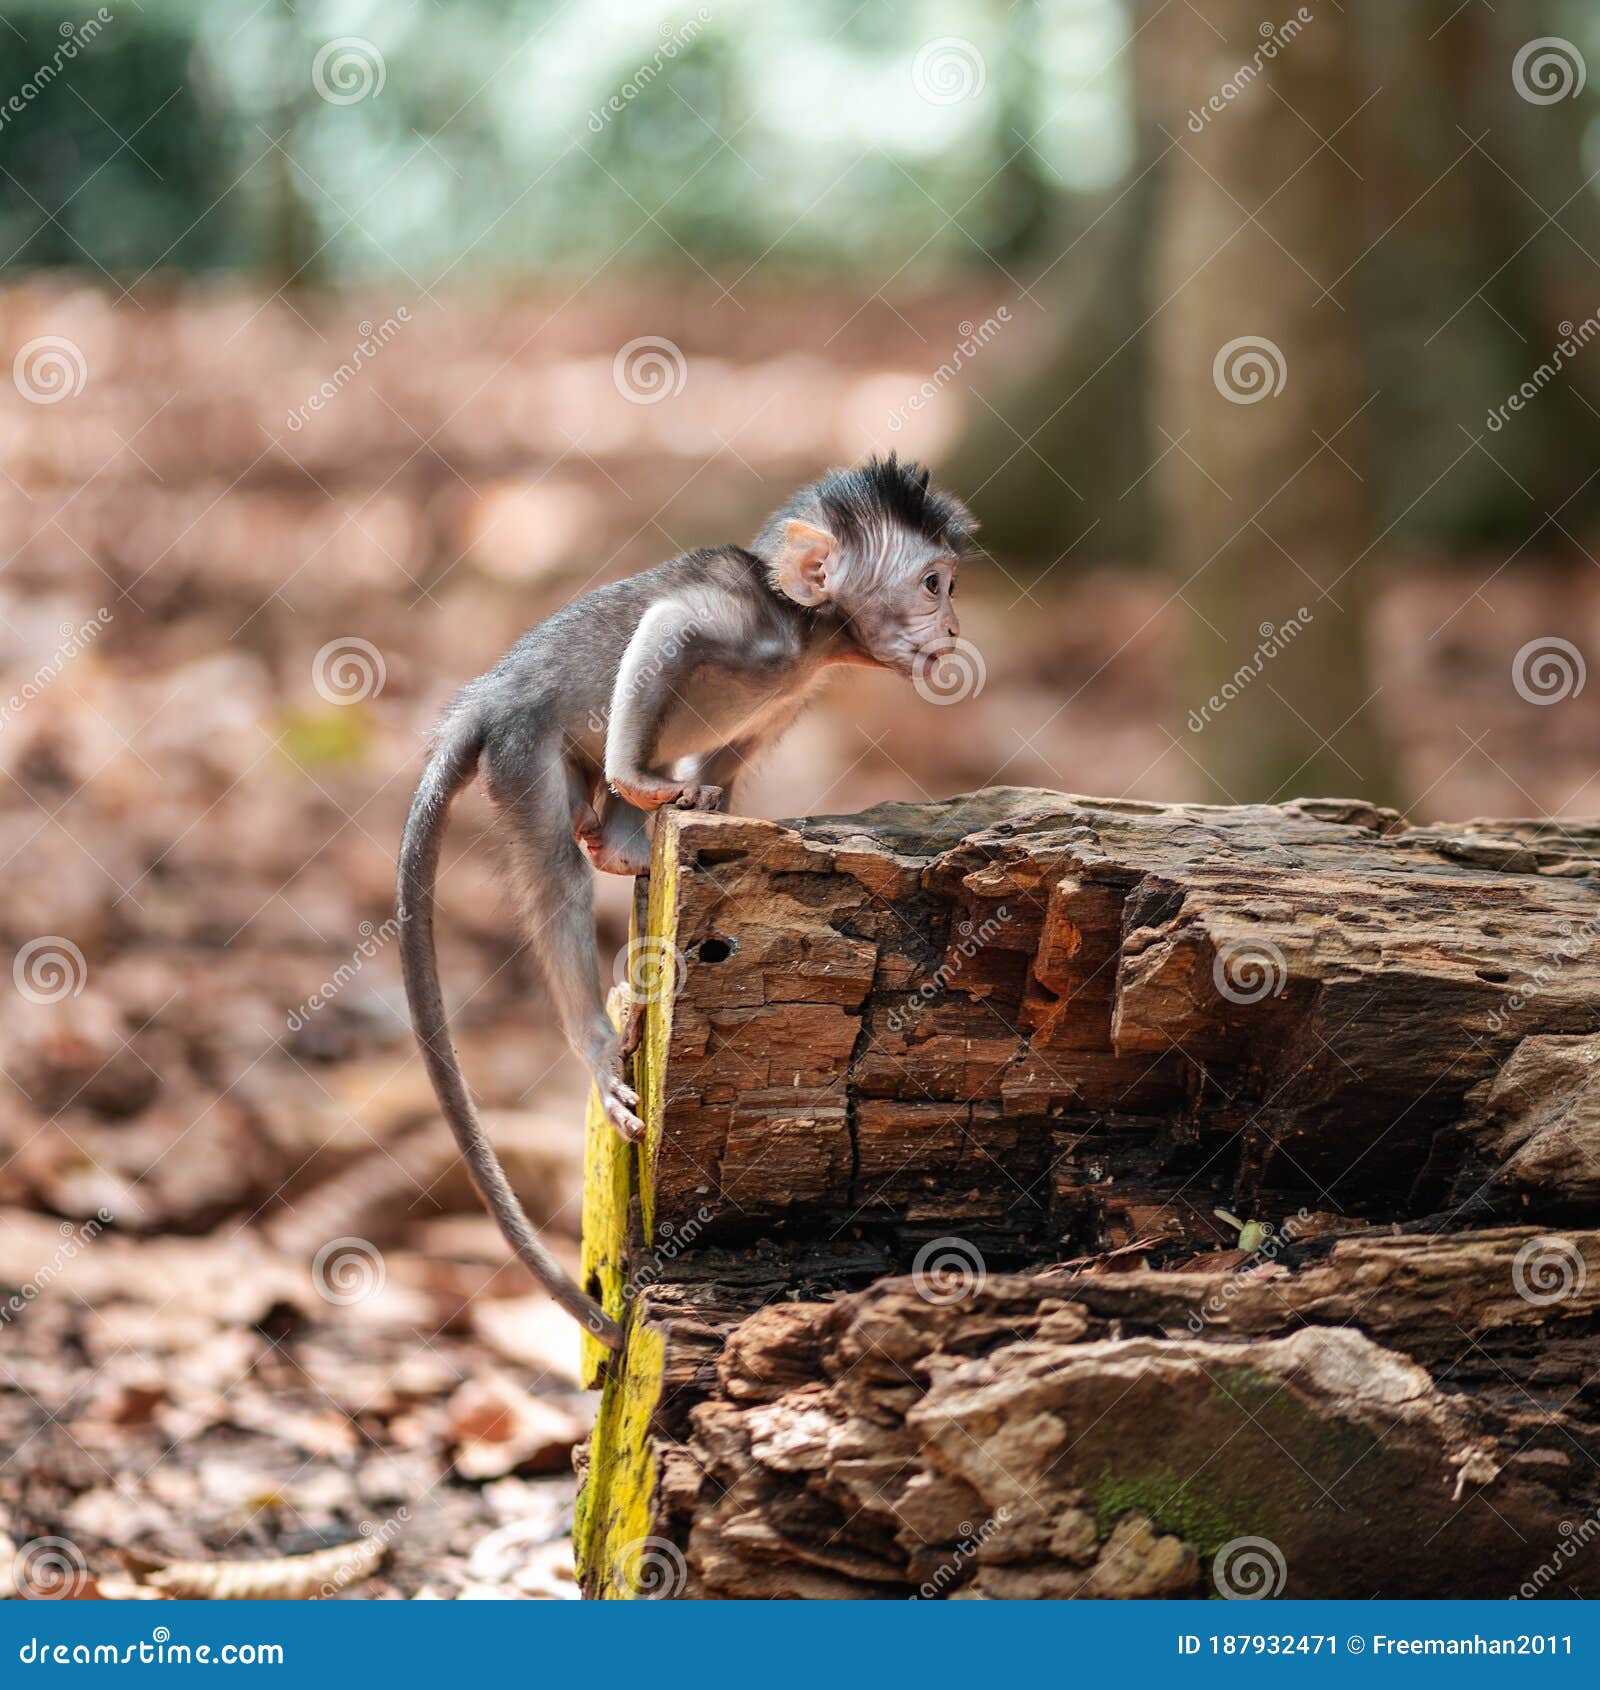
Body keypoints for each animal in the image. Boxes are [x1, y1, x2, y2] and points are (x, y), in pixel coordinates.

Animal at [398, 455, 975, 1349]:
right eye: (932, 583)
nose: (951, 629)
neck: (810, 631)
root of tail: (484, 696)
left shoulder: (798, 683)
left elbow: (733, 748)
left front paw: (703, 798)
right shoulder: (749, 627)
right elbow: (667, 629)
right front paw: (641, 776)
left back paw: (623, 844)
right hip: (523, 746)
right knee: (557, 873)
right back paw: (599, 1034)